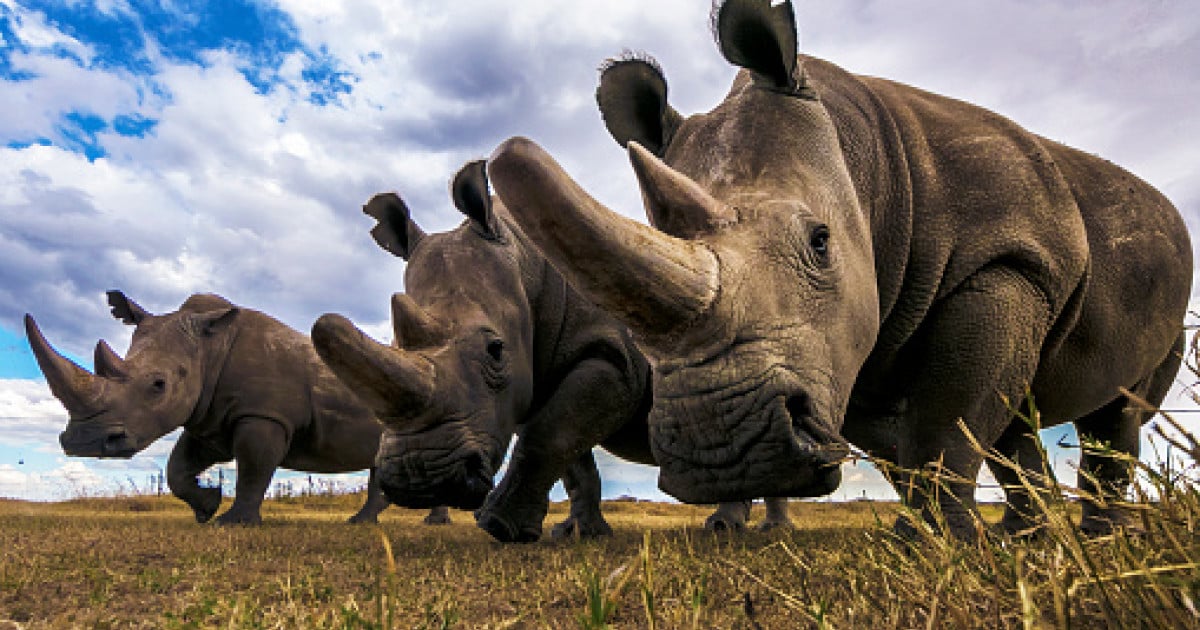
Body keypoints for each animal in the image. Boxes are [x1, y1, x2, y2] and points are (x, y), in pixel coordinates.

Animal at [25, 291, 450, 526]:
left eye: (159, 385)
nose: (83, 442)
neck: (207, 350)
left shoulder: (263, 415)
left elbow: (253, 468)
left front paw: (233, 522)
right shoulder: (208, 419)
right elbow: (177, 468)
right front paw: (206, 507)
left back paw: (419, 523)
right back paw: (362, 522)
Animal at [311, 161, 792, 542]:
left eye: (496, 350)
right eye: (393, 342)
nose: (420, 479)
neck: (524, 262)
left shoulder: (613, 360)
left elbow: (550, 434)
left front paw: (499, 527)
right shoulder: (539, 373)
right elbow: (571, 457)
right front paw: (579, 533)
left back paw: (734, 529)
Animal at [485, 0, 1192, 538]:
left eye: (820, 243)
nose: (722, 450)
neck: (863, 159)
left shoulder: (1010, 263)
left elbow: (948, 414)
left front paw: (925, 545)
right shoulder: (849, 342)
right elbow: (918, 438)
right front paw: (939, 538)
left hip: (1164, 279)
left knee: (1115, 414)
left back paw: (1098, 542)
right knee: (1018, 417)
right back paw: (1033, 540)